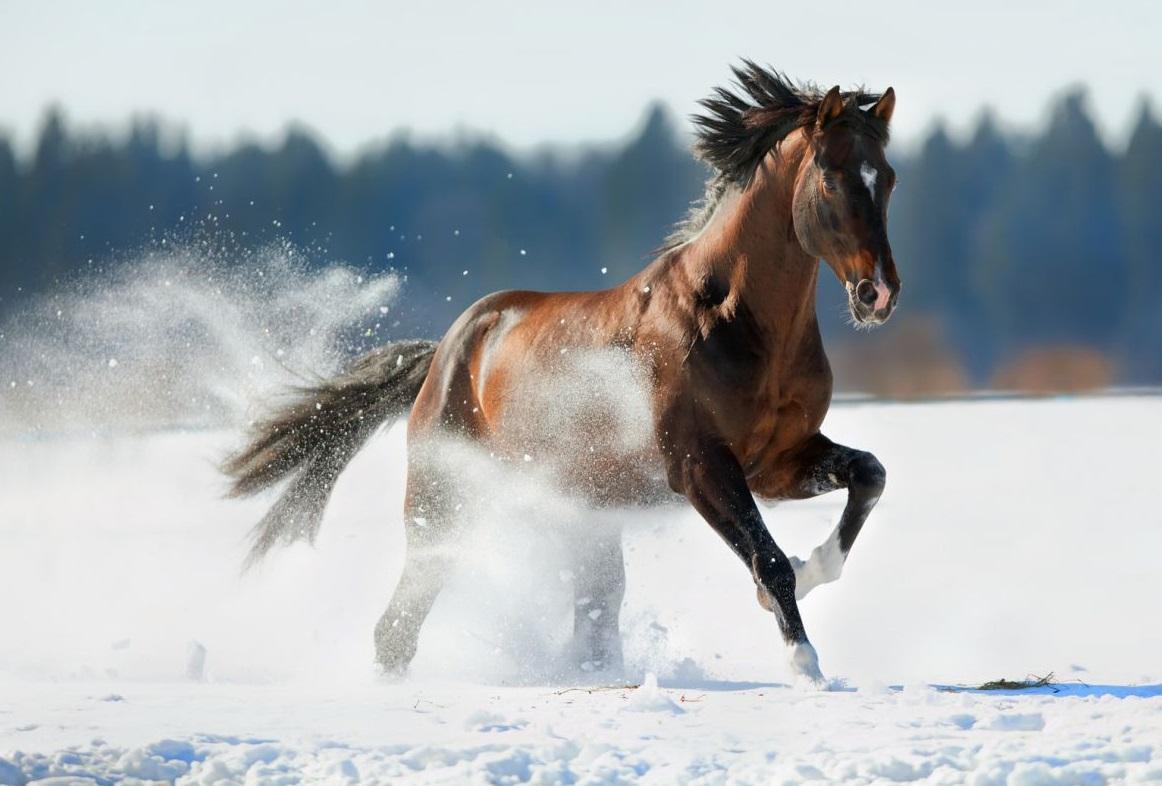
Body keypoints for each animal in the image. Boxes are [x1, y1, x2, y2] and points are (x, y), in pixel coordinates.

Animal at [223, 62, 901, 687]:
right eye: (831, 177)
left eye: (888, 177)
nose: (879, 293)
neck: (730, 318)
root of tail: (446, 353)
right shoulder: (699, 467)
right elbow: (768, 559)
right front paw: (805, 664)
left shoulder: (777, 461)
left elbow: (869, 475)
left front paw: (813, 573)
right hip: (445, 503)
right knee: (400, 622)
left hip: (583, 513)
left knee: (592, 612)